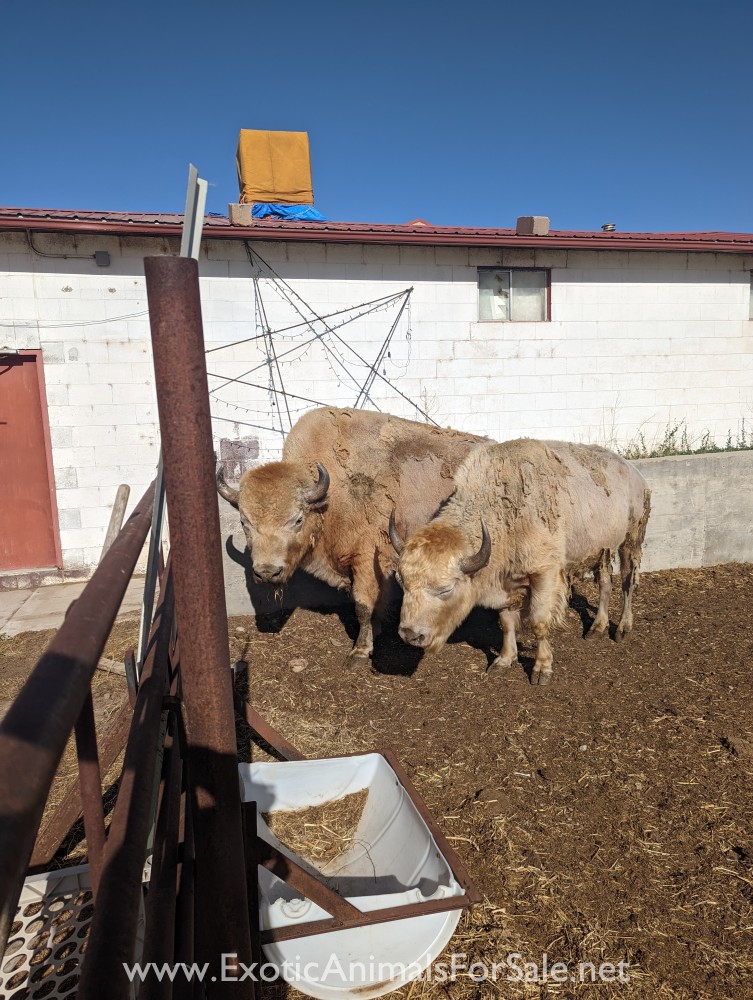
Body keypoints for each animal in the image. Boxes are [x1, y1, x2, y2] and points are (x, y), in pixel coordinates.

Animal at [216, 407, 486, 668]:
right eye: (244, 522)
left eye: (297, 519)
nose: (267, 573)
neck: (331, 497)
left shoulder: (368, 561)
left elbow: (362, 606)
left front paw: (359, 651)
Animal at [390, 439, 651, 685]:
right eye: (402, 584)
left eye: (445, 589)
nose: (410, 634)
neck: (505, 513)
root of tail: (634, 473)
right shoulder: (506, 580)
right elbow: (506, 623)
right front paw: (504, 661)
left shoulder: (545, 575)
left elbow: (539, 622)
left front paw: (542, 669)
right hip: (602, 551)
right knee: (605, 584)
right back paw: (597, 628)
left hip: (631, 541)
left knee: (627, 583)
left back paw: (622, 629)